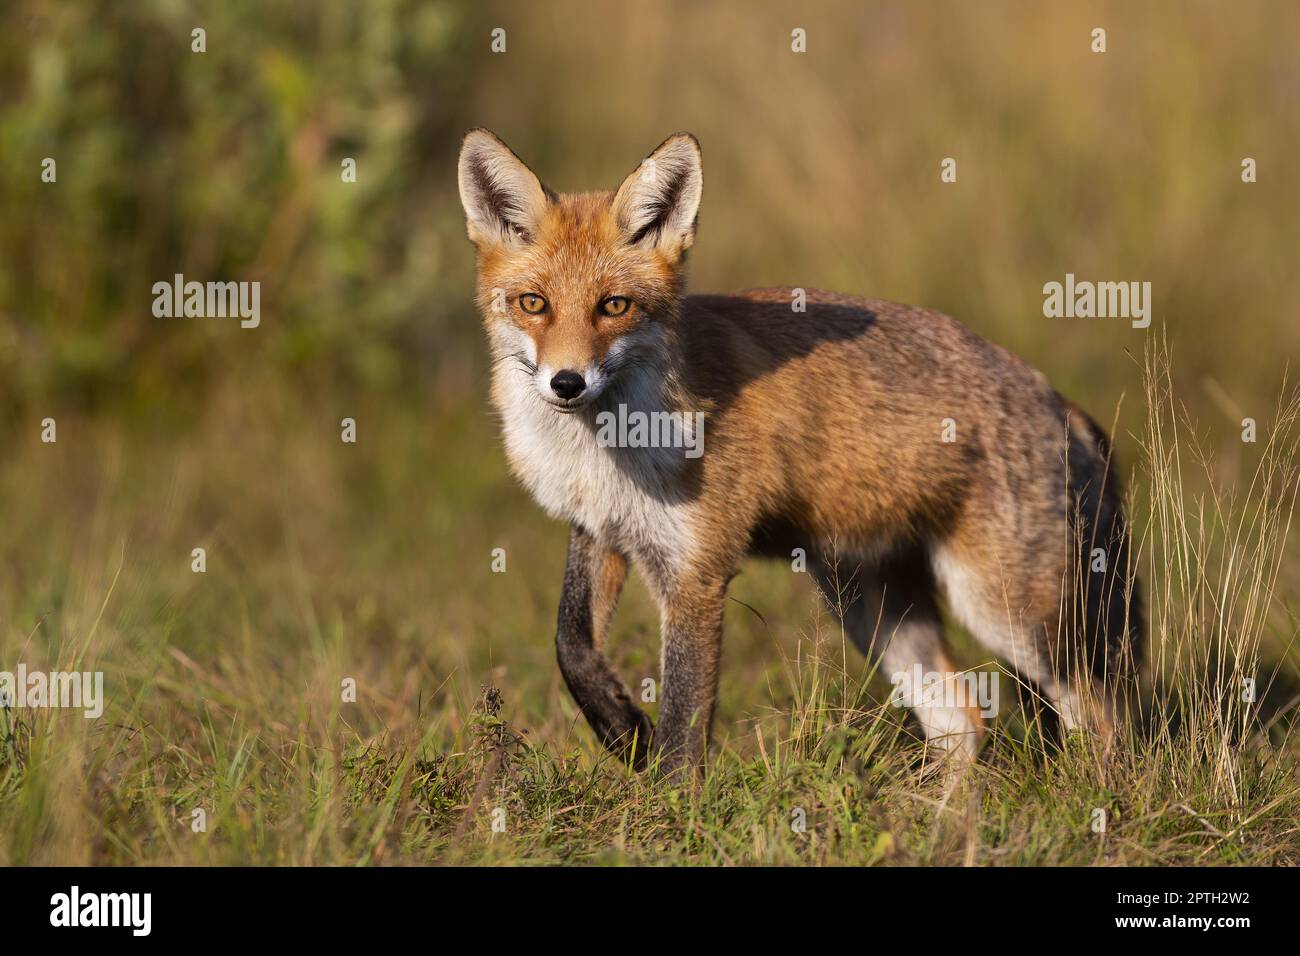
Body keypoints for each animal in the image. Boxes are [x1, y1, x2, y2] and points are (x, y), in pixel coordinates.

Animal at [457, 128, 1143, 775]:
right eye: (534, 303)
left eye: (614, 306)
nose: (566, 383)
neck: (606, 452)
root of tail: (1058, 399)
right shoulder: (601, 529)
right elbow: (570, 644)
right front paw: (623, 730)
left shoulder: (696, 570)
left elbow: (683, 729)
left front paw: (671, 805)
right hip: (872, 604)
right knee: (963, 722)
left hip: (1005, 612)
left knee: (1105, 716)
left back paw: (1100, 799)